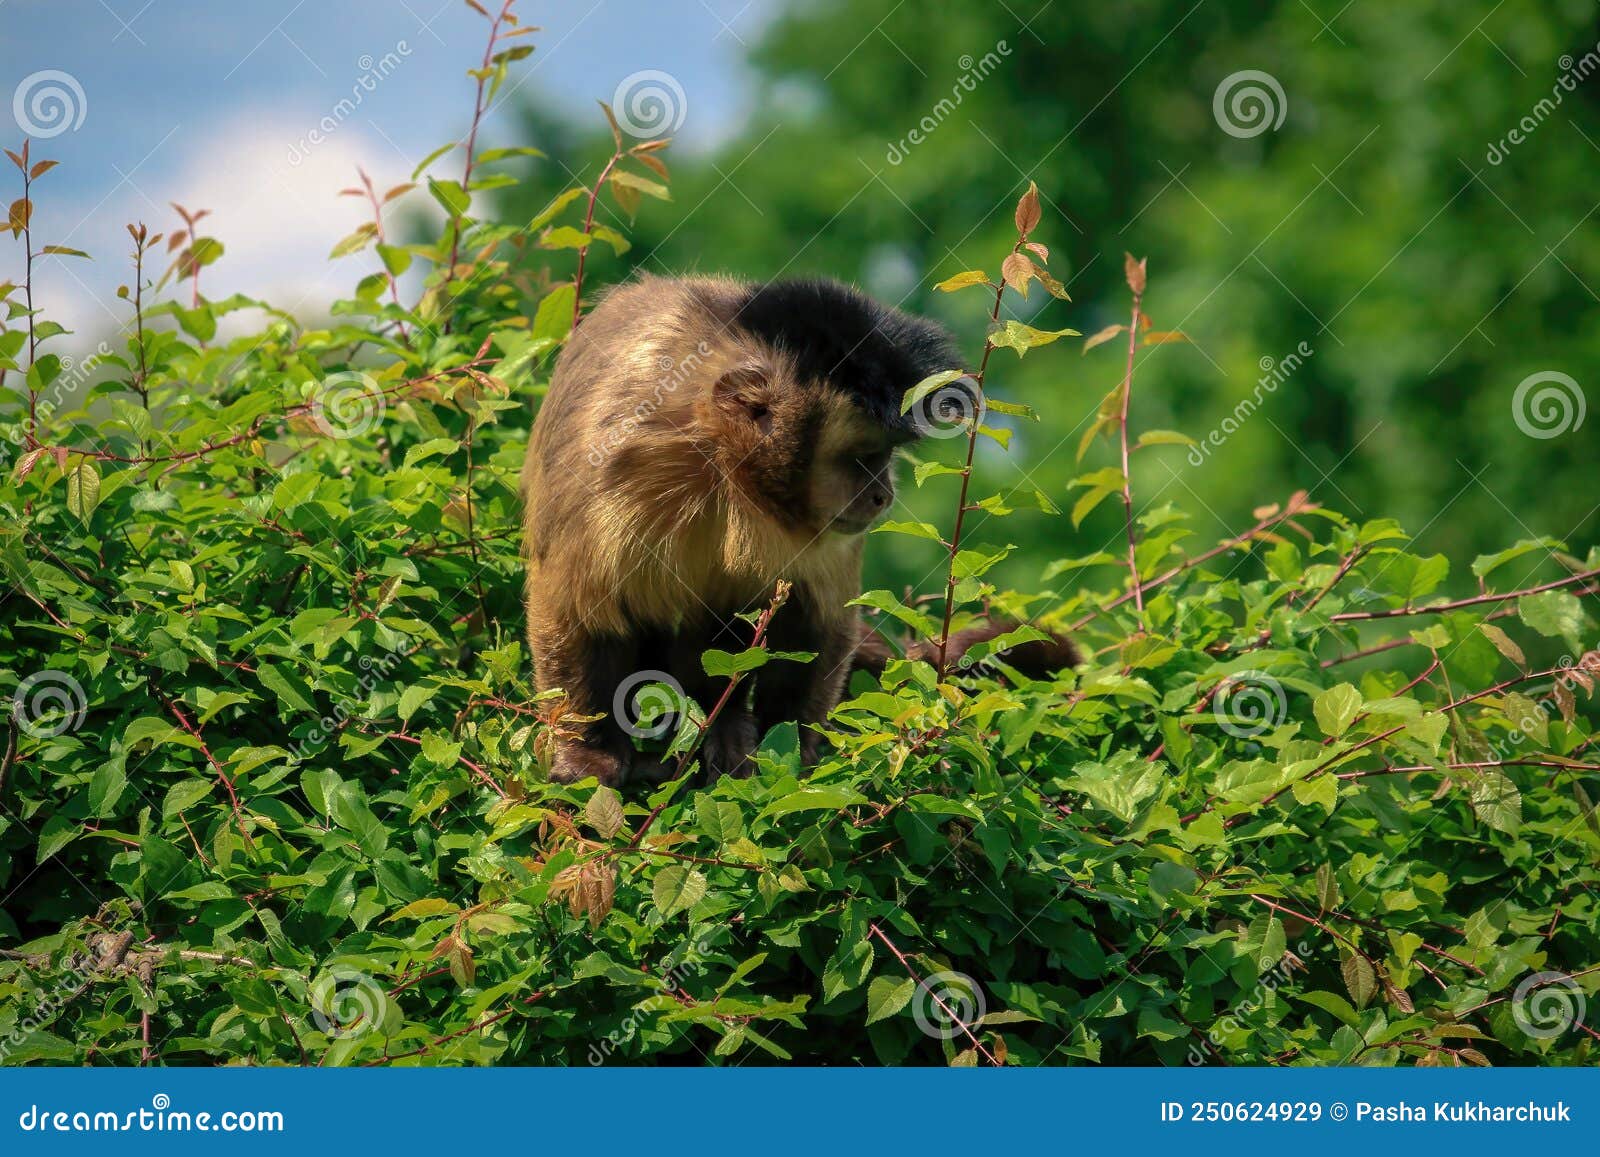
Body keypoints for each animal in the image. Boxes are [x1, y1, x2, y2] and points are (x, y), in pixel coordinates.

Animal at [519, 273, 1076, 787]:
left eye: (887, 454)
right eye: (860, 457)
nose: (883, 493)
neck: (719, 459)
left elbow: (815, 624)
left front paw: (791, 755)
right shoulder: (625, 462)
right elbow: (582, 608)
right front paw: (590, 753)